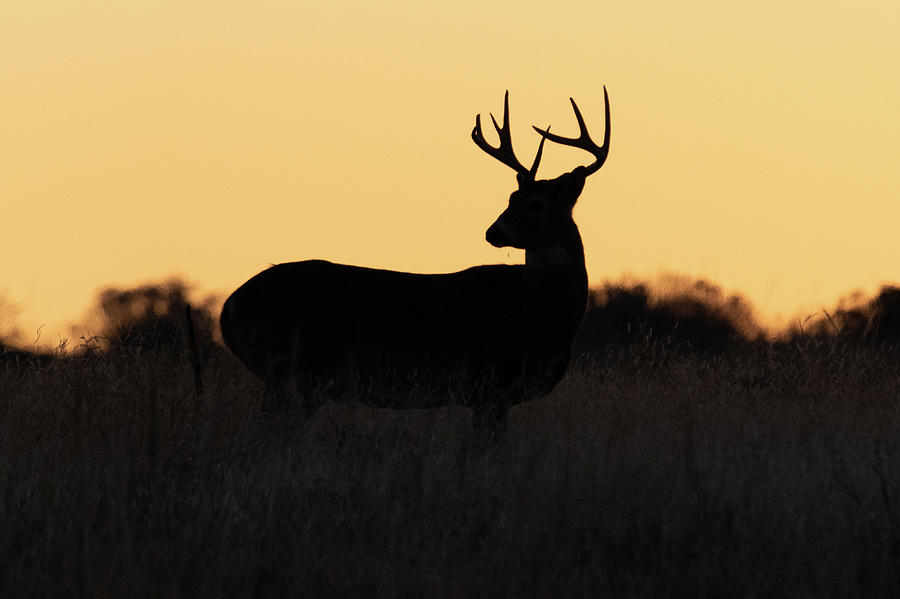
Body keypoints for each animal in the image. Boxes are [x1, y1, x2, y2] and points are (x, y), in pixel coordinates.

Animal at [220, 88, 610, 441]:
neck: (537, 309)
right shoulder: (489, 384)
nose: (493, 231)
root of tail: (229, 307)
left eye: (536, 204)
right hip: (296, 372)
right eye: (513, 197)